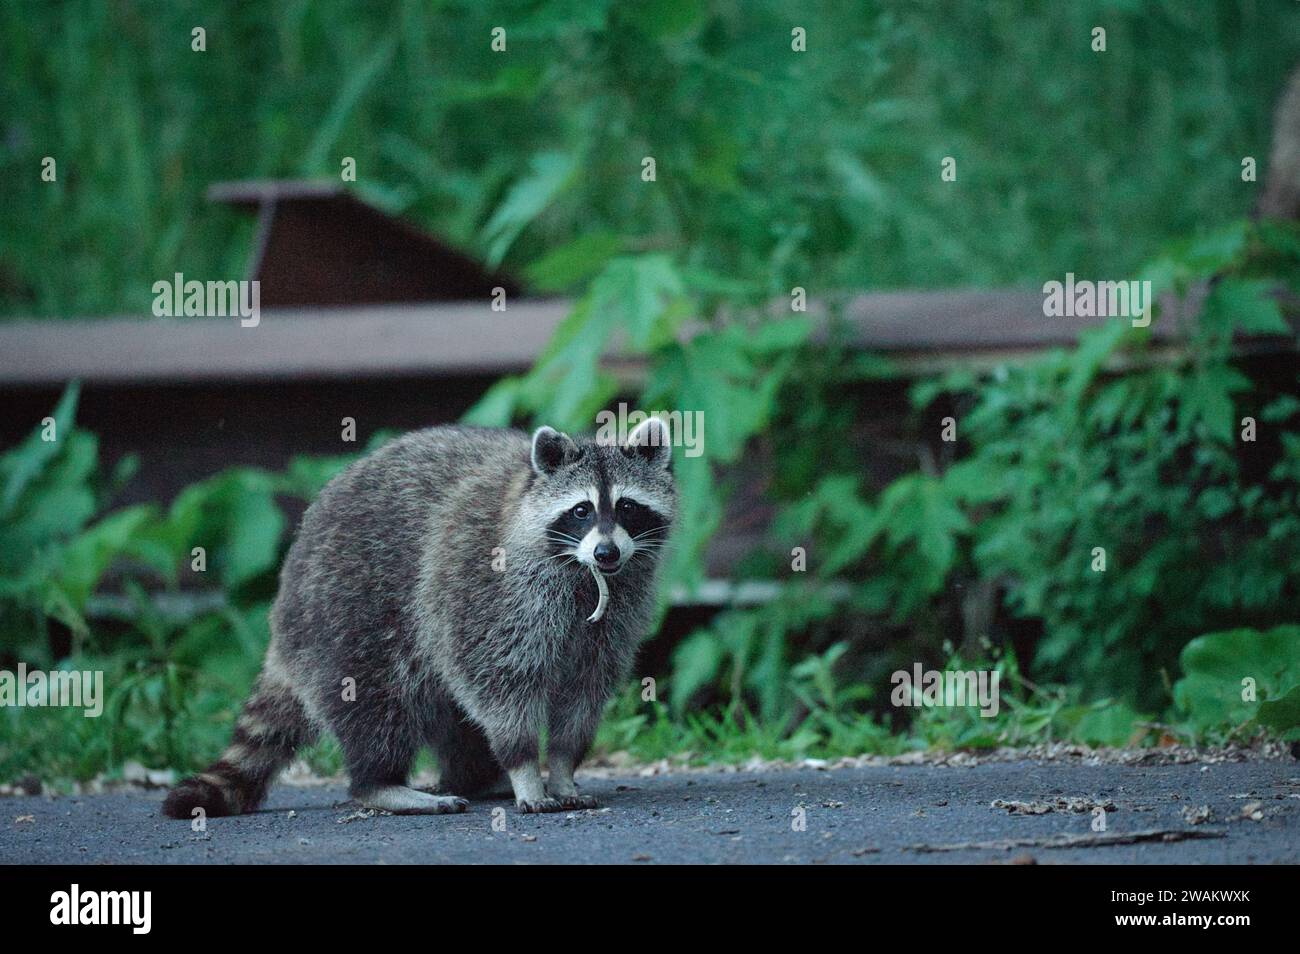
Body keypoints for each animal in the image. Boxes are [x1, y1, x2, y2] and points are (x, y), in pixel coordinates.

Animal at [162, 417, 674, 818]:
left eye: (627, 507)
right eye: (581, 510)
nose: (607, 552)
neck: (585, 572)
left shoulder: (617, 611)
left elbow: (586, 688)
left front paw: (563, 767)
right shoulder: (486, 589)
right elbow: (497, 680)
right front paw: (526, 766)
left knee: (449, 713)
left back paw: (472, 777)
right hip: (344, 611)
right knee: (378, 698)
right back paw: (381, 783)